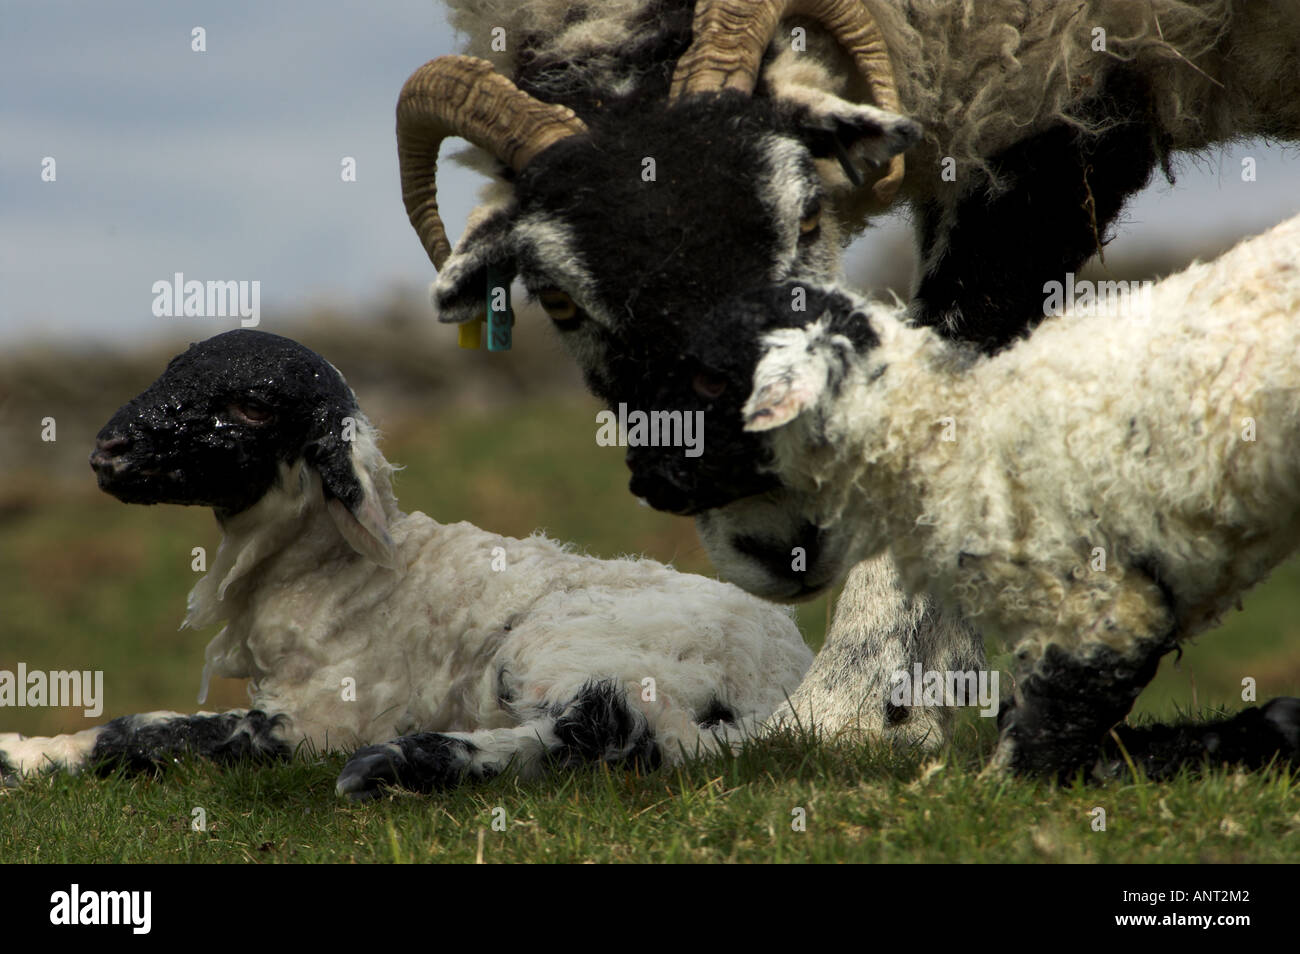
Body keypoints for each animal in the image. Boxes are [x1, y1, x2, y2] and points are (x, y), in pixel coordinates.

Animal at [0, 330, 812, 799]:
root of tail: (783, 679)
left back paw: (400, 766)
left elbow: (150, 730)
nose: (107, 450)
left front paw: (30, 754)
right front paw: (28, 754)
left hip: (570, 648)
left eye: (253, 407)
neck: (338, 580)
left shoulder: (321, 719)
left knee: (615, 731)